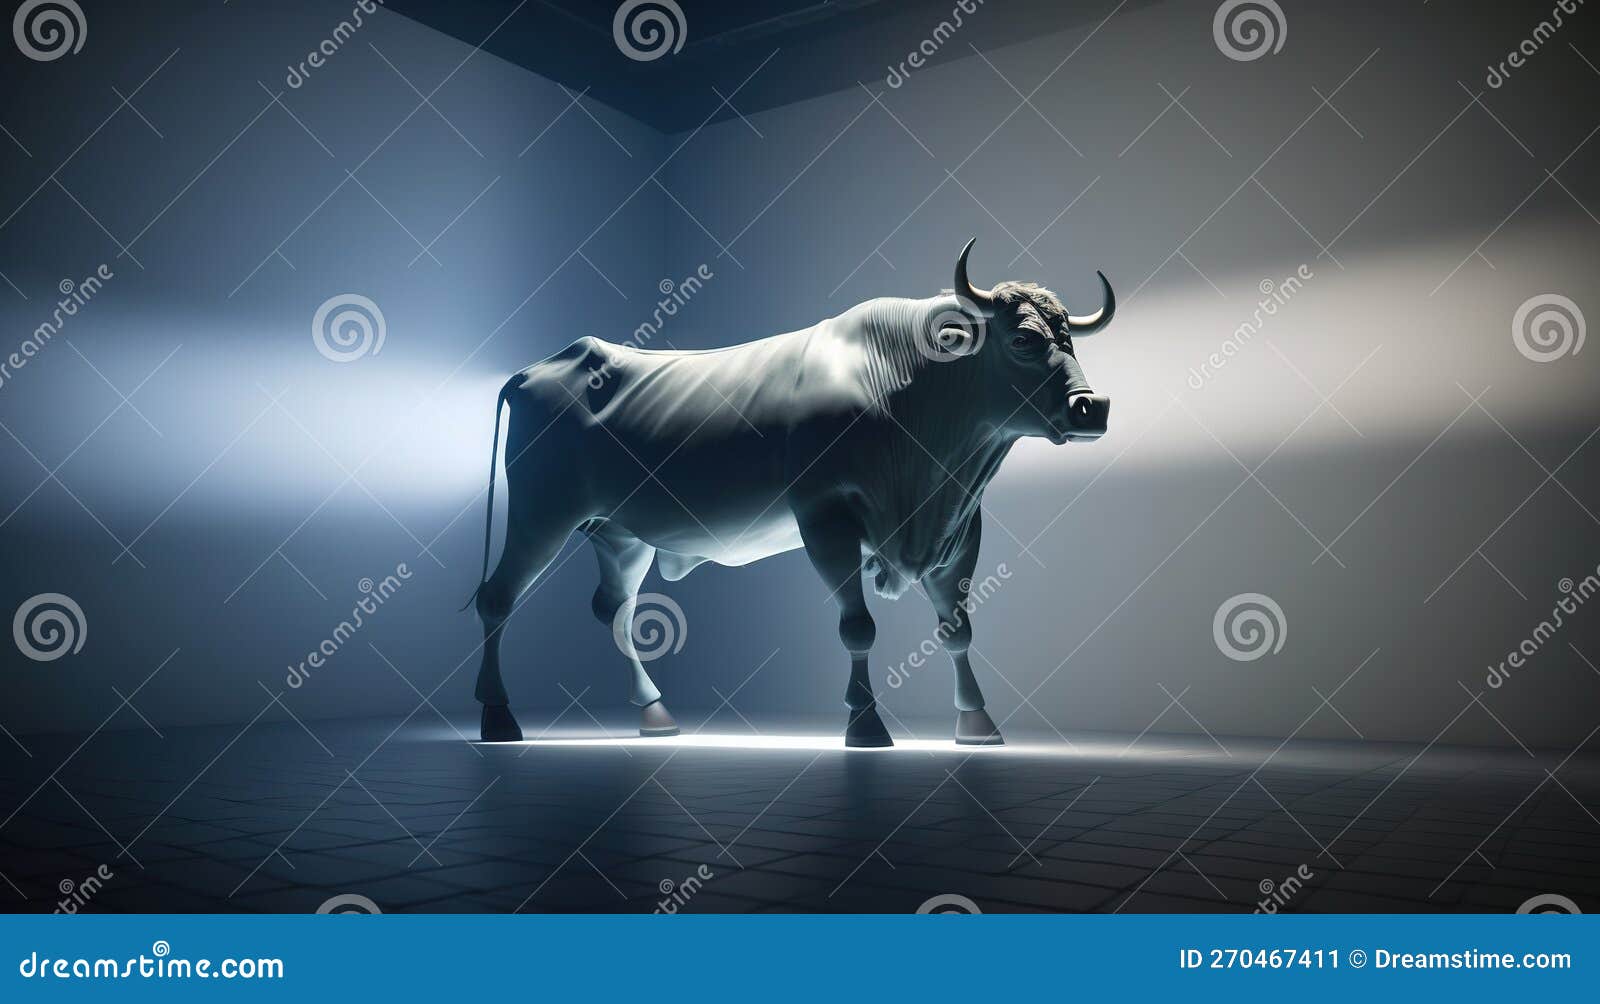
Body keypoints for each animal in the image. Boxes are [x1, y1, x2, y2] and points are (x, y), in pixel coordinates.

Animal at [468, 240, 1114, 746]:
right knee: (497, 598)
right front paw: (865, 725)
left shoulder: (960, 524)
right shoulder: (825, 515)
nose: (1093, 406)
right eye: (1023, 339)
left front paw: (977, 725)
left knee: (618, 611)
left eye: (1072, 340)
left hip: (621, 534)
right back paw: (498, 716)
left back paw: (655, 714)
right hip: (540, 511)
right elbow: (858, 627)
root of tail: (542, 367)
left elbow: (958, 630)